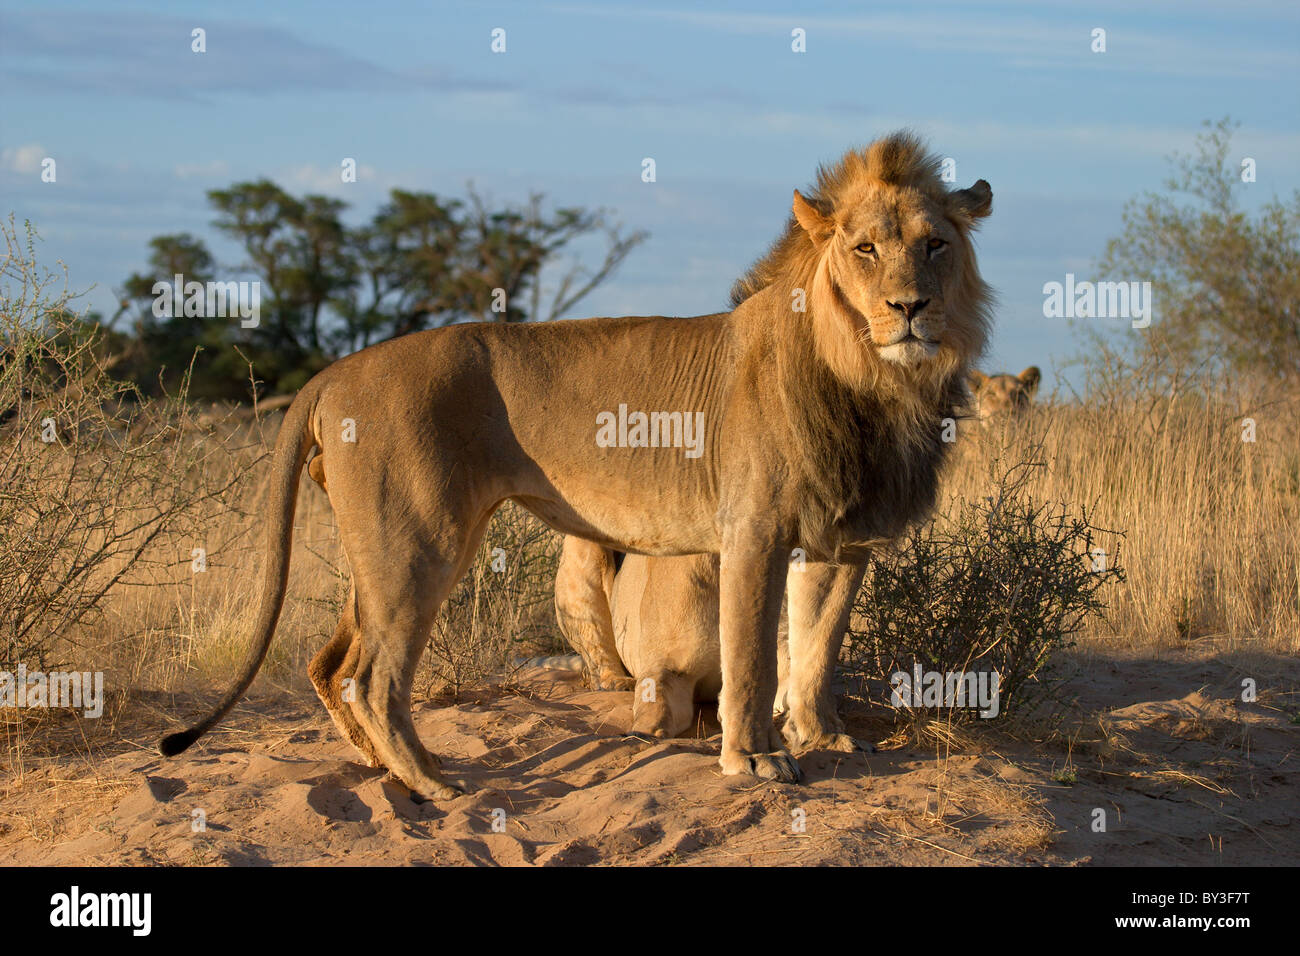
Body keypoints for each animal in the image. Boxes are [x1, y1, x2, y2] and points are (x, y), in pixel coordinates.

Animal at [158, 131, 993, 800]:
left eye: (935, 245)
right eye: (864, 249)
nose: (910, 307)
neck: (874, 380)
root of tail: (336, 371)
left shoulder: (842, 540)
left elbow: (817, 647)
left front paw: (823, 740)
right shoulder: (752, 530)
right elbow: (754, 659)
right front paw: (754, 760)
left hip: (380, 552)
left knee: (328, 664)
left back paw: (384, 770)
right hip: (419, 542)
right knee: (373, 677)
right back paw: (430, 780)